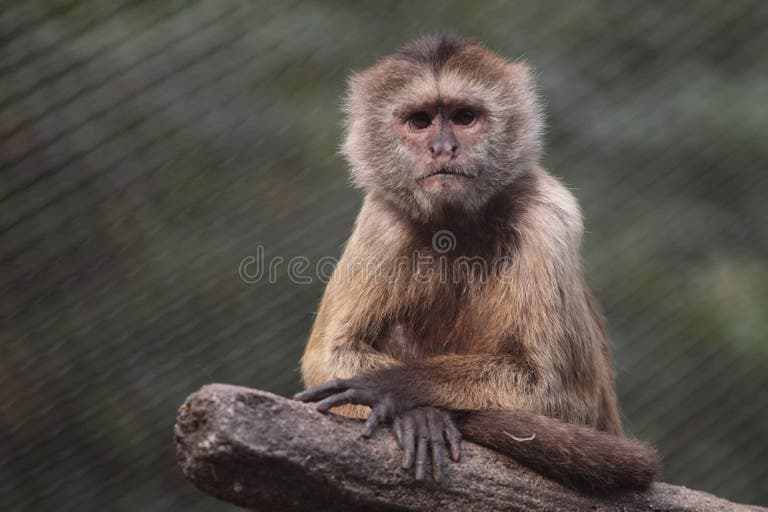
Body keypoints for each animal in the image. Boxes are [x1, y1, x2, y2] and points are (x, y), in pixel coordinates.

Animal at [294, 35, 660, 493]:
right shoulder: (383, 219)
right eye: (420, 121)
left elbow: (558, 395)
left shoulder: (548, 215)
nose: (442, 148)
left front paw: (398, 389)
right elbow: (327, 357)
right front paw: (419, 411)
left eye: (464, 117)